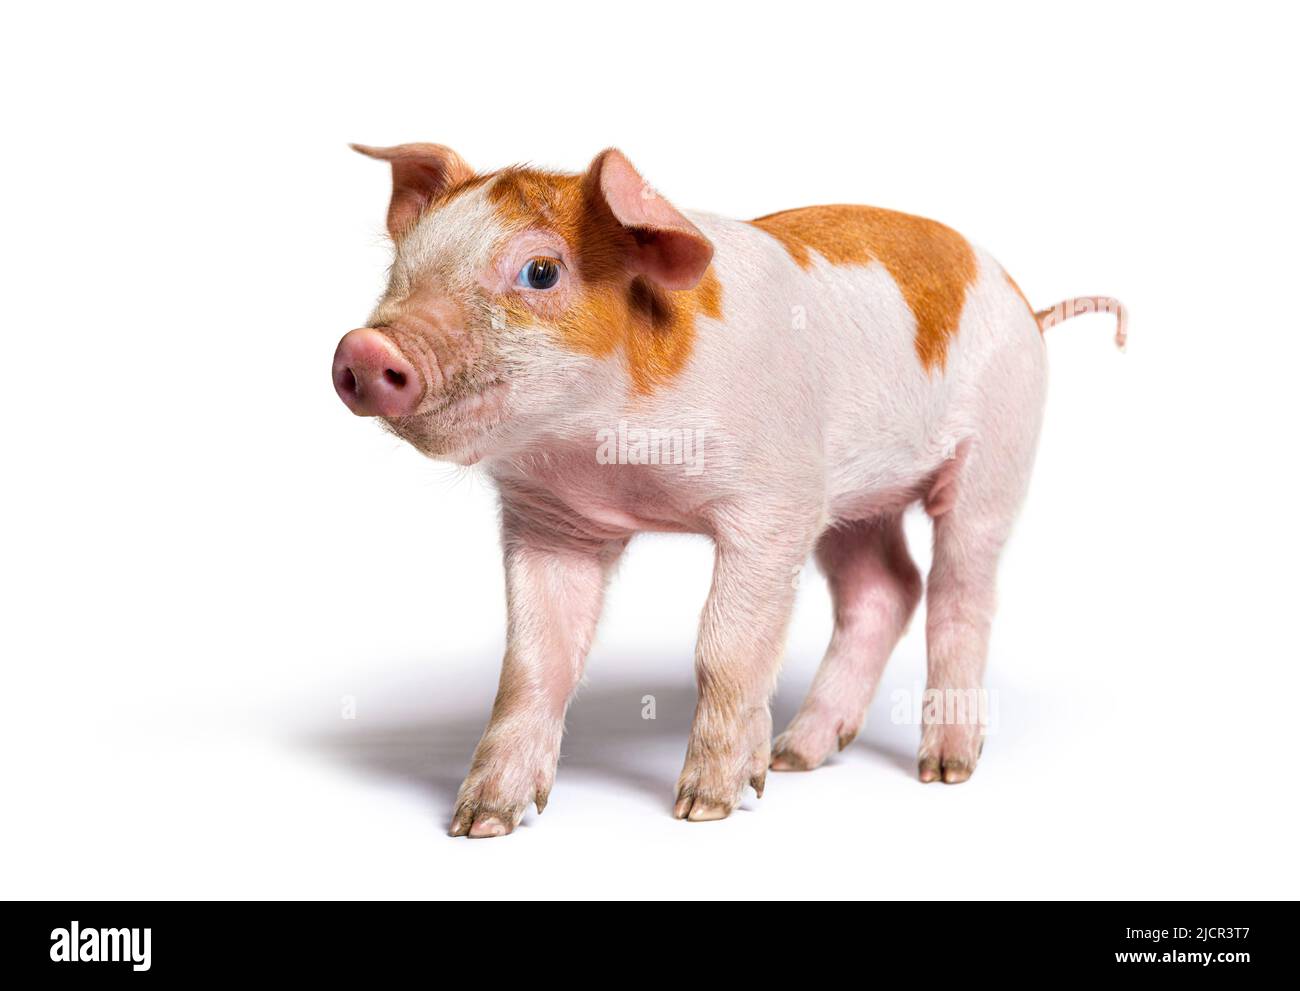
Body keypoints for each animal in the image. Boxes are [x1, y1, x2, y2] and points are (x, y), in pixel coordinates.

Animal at [333, 143, 1126, 838]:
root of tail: (1028, 306)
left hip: (998, 448)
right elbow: (533, 661)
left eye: (541, 271)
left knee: (961, 591)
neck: (608, 456)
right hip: (849, 504)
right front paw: (480, 825)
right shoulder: (552, 521)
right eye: (401, 265)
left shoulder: (773, 504)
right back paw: (799, 755)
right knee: (886, 588)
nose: (364, 348)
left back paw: (944, 769)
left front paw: (705, 808)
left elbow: (726, 647)